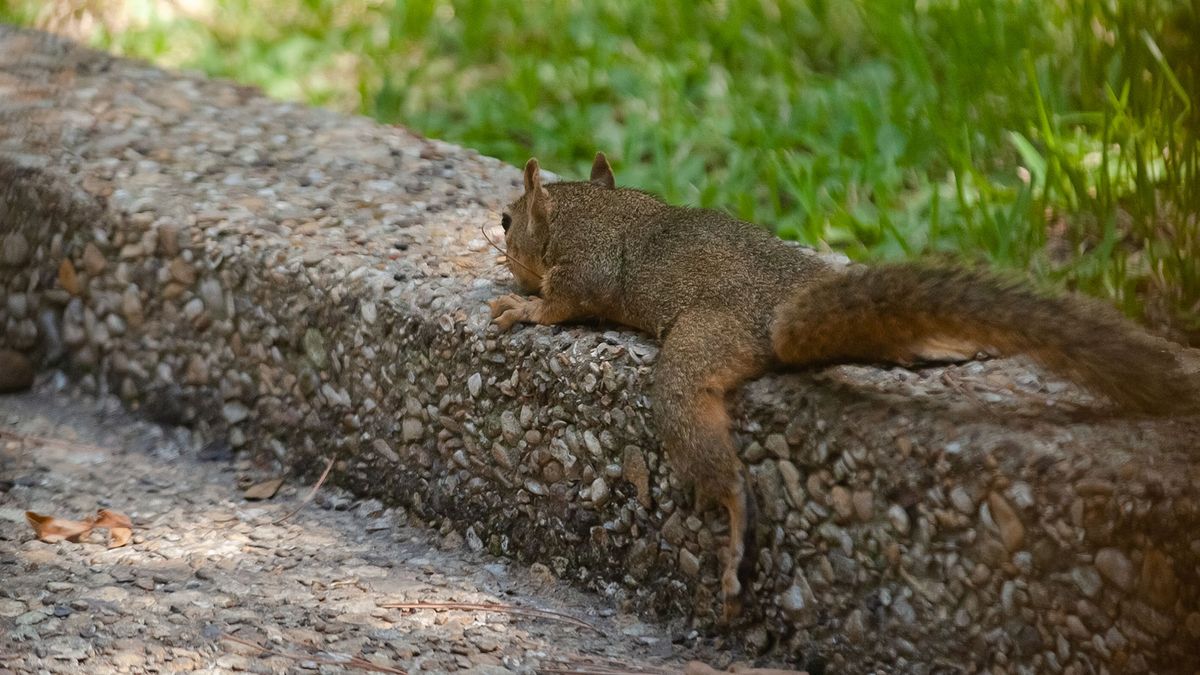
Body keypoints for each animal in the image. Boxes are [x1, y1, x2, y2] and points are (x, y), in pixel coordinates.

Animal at [487, 152, 1199, 621]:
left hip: (704, 343)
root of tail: (784, 303)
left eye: (504, 222)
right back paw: (940, 344)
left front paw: (521, 307)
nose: (501, 245)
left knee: (698, 427)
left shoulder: (586, 272)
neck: (598, 207)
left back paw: (735, 523)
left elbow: (565, 303)